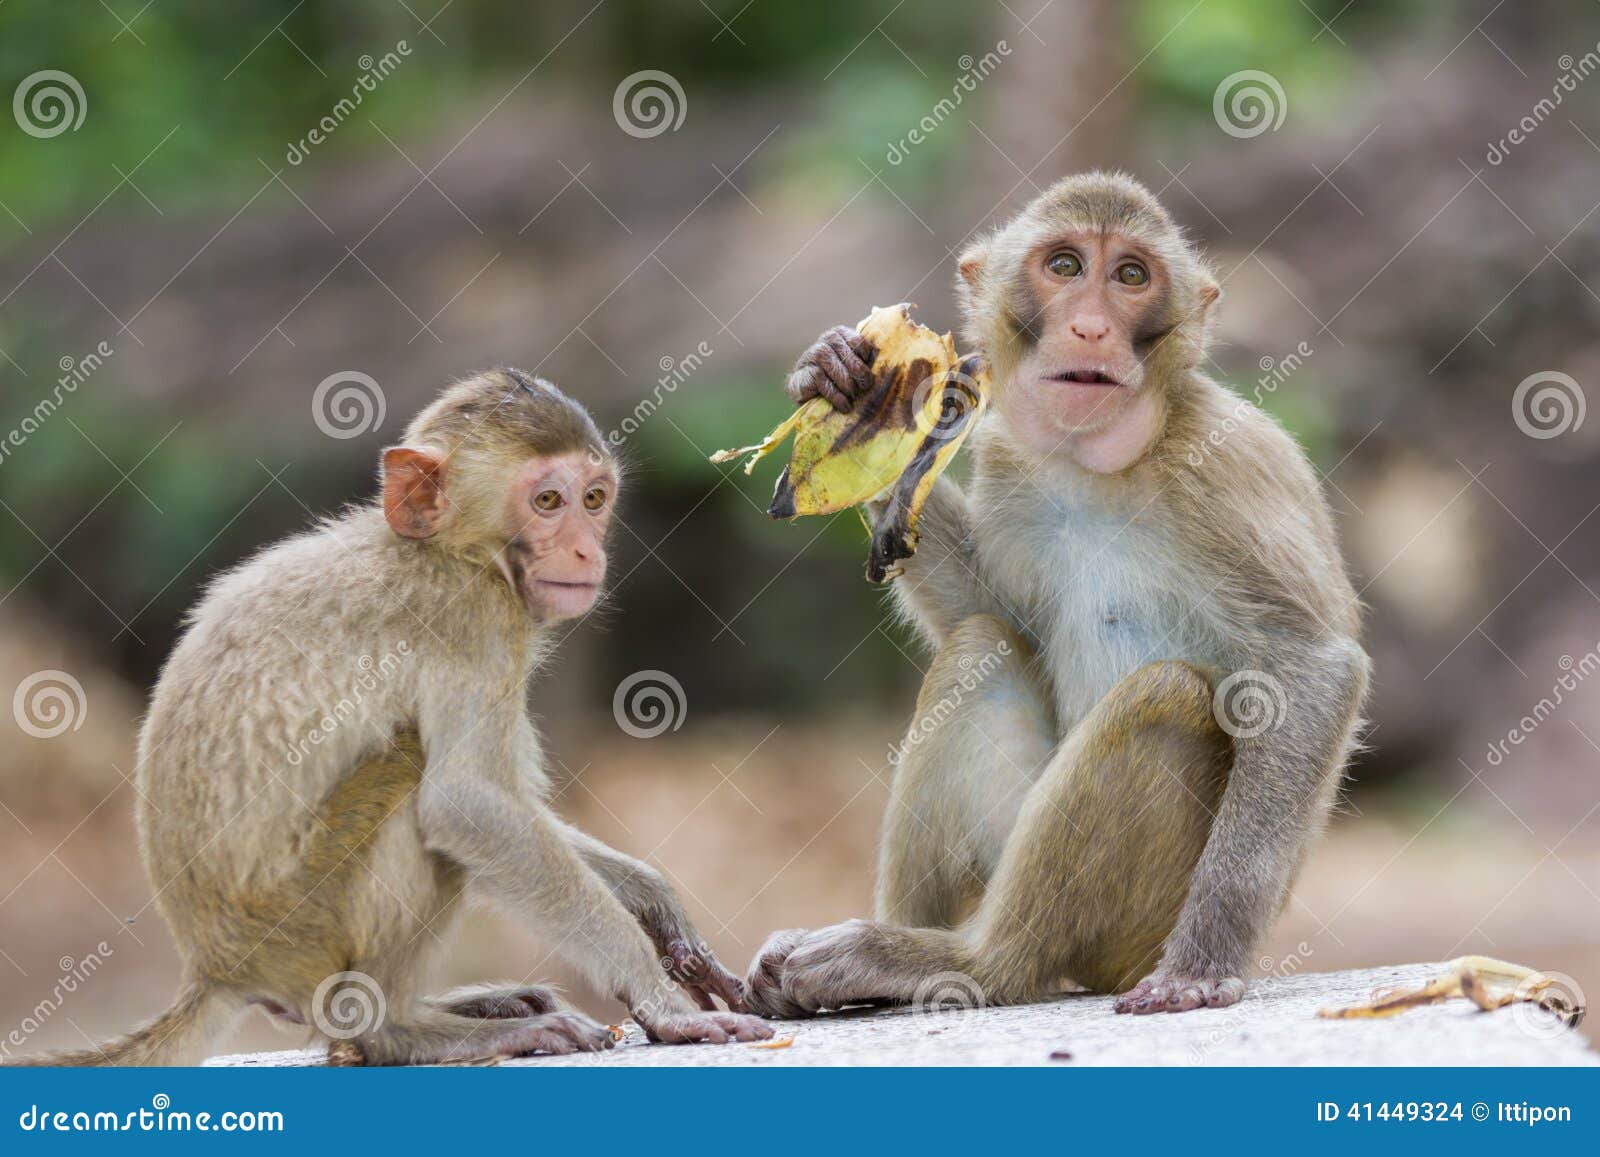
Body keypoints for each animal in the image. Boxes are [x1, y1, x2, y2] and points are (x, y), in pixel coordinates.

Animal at [14, 368, 771, 1066]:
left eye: (594, 498)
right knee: (410, 785)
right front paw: (662, 1000)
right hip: (303, 928)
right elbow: (467, 805)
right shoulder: (476, 619)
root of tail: (214, 968)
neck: (452, 549)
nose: (589, 549)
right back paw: (400, 1031)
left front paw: (656, 905)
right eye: (547, 501)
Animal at [745, 172, 1369, 1017]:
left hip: (1132, 933)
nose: (1092, 327)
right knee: (981, 644)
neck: (1098, 465)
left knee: (1165, 698)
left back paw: (968, 963)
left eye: (1132, 276)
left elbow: (1312, 667)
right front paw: (849, 385)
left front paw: (1205, 959)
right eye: (1066, 266)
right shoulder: (1010, 459)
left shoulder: (1231, 466)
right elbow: (993, 613)